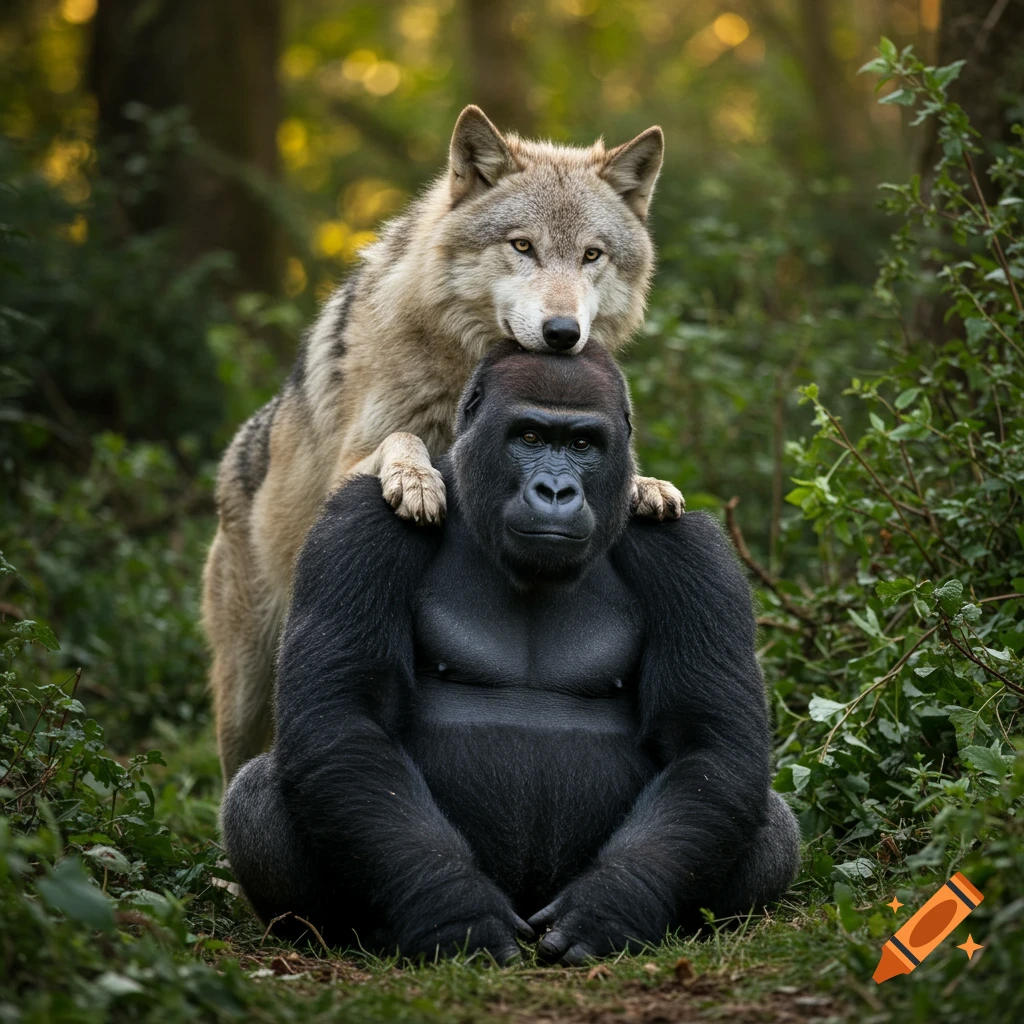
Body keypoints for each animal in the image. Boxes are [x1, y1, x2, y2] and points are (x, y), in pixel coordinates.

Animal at [203, 105, 683, 782]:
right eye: (522, 246)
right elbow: (402, 438)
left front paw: (647, 486)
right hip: (245, 690)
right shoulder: (352, 464)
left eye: (592, 254)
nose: (563, 333)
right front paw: (417, 481)